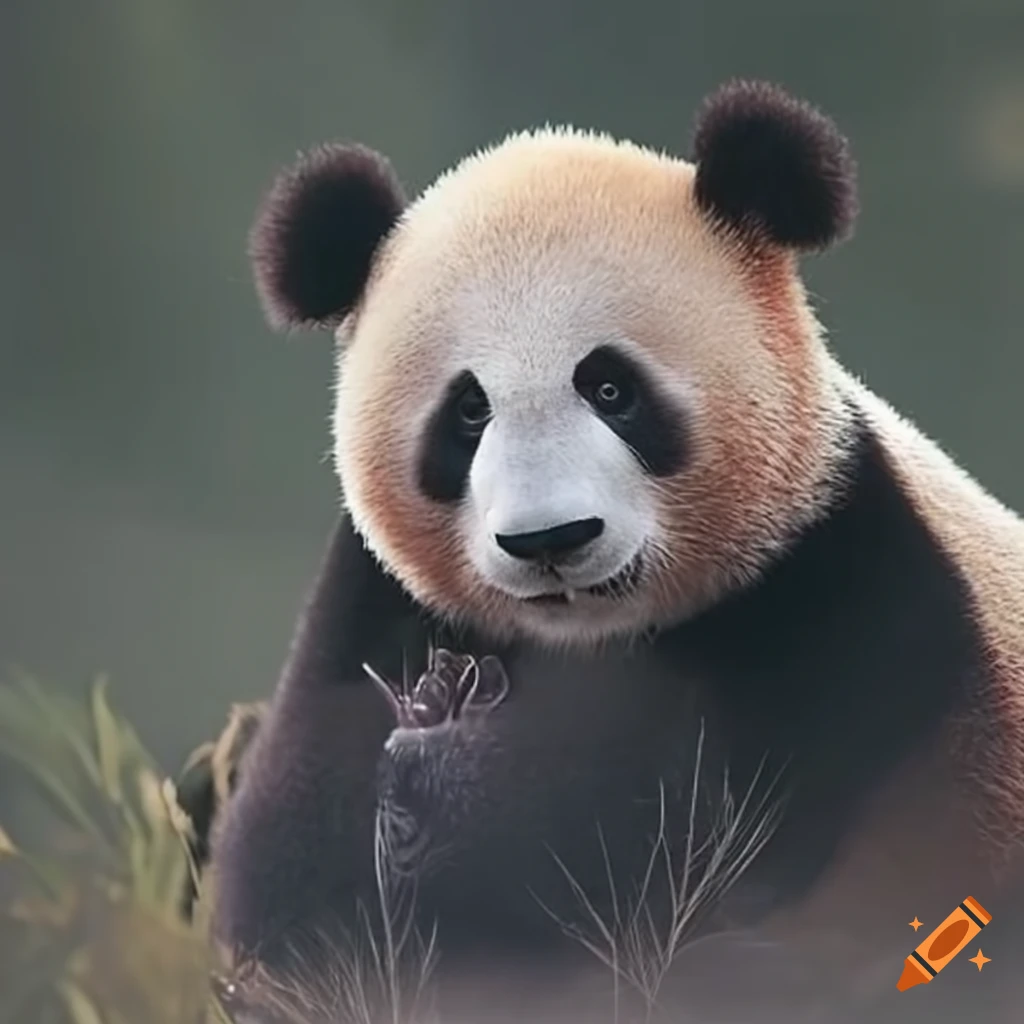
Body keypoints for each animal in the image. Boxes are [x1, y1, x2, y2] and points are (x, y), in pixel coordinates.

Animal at [203, 80, 1024, 1023]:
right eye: (468, 410)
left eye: (609, 388)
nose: (550, 540)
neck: (592, 641)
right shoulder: (374, 610)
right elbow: (294, 875)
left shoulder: (852, 600)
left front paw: (453, 780)